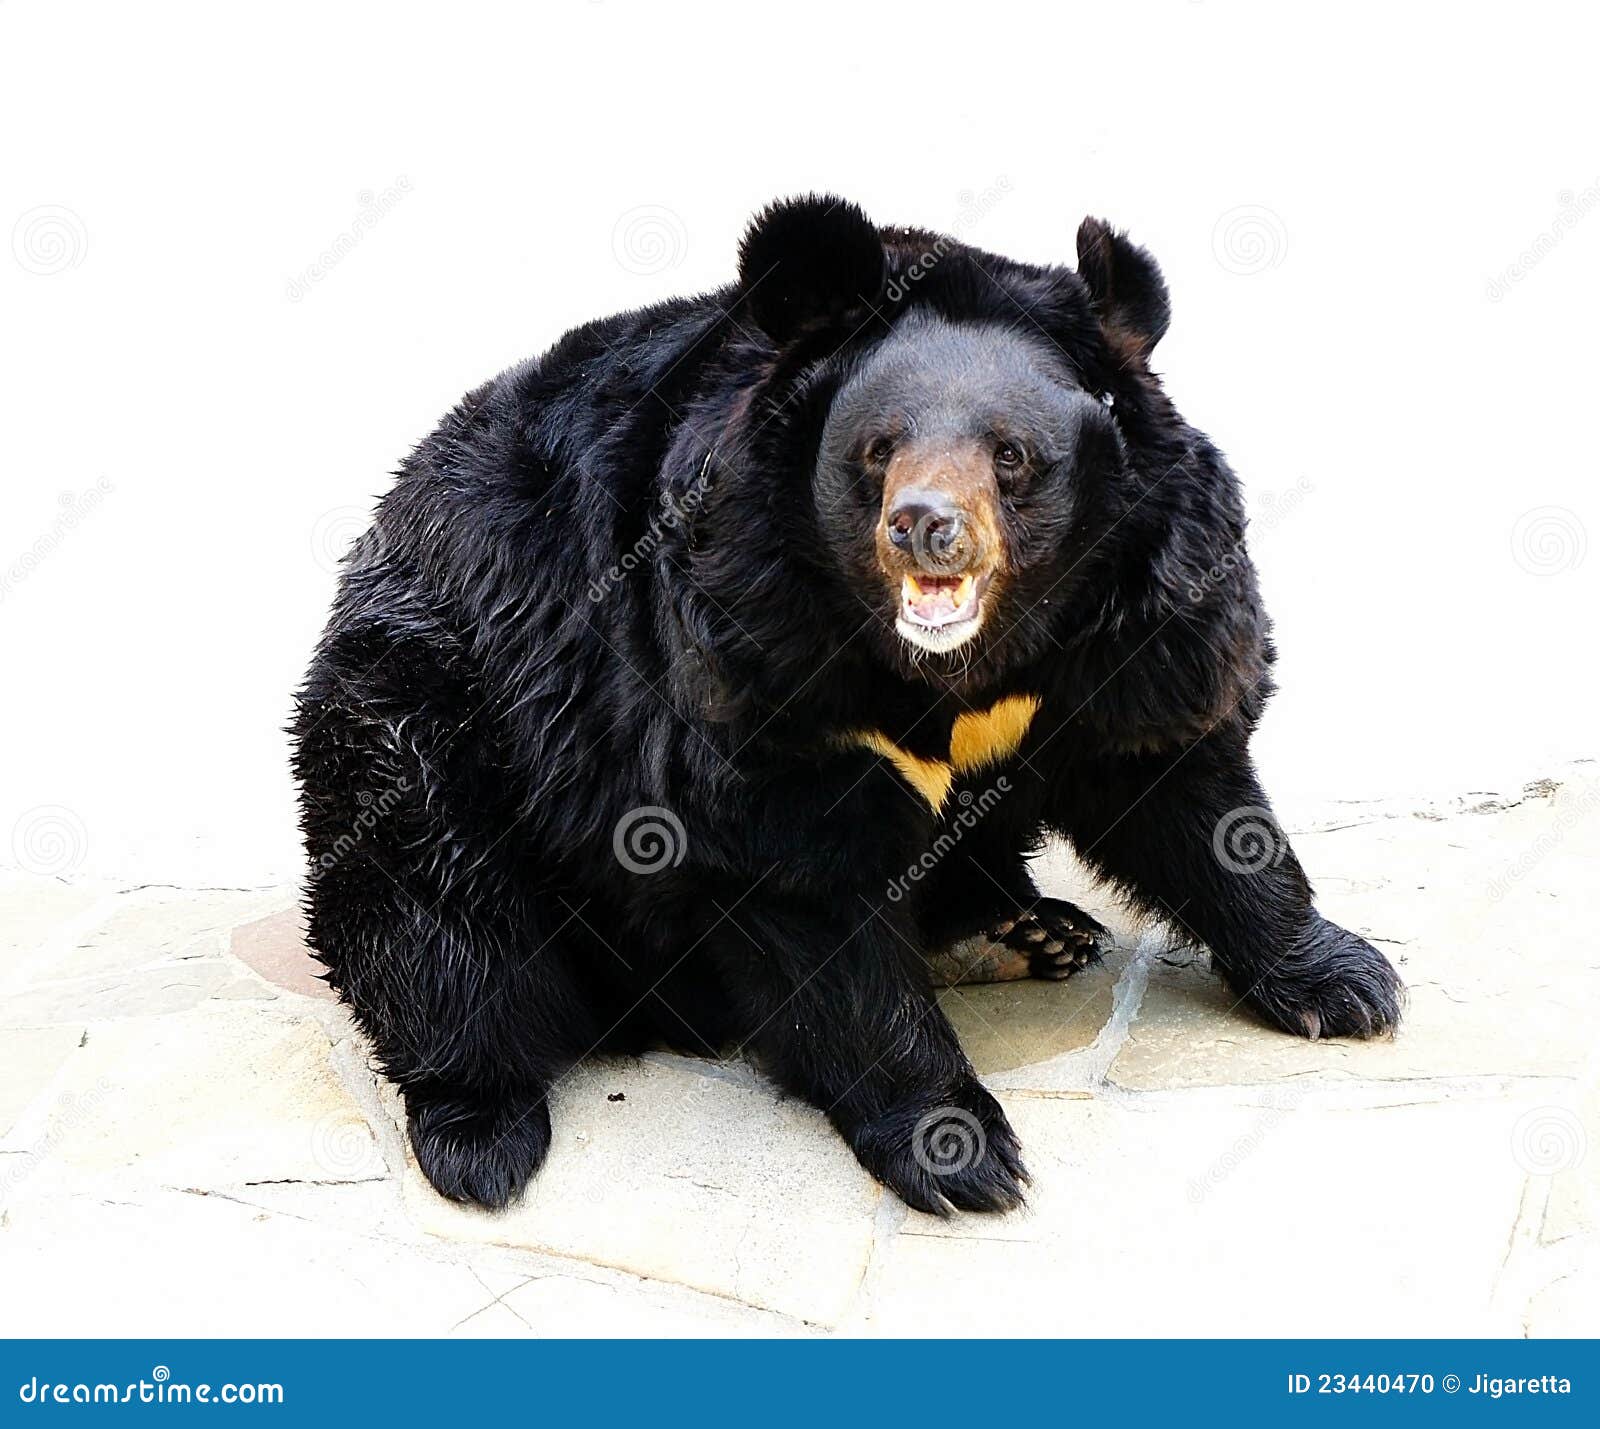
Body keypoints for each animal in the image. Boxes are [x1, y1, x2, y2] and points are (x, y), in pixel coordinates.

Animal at [291, 195, 1403, 1216]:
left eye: (1009, 453)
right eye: (879, 448)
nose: (925, 524)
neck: (958, 668)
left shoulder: (1140, 620)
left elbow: (1186, 786)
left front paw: (1348, 983)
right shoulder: (736, 646)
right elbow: (805, 889)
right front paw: (959, 1151)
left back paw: (1028, 931)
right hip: (417, 710)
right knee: (436, 910)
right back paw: (482, 1133)